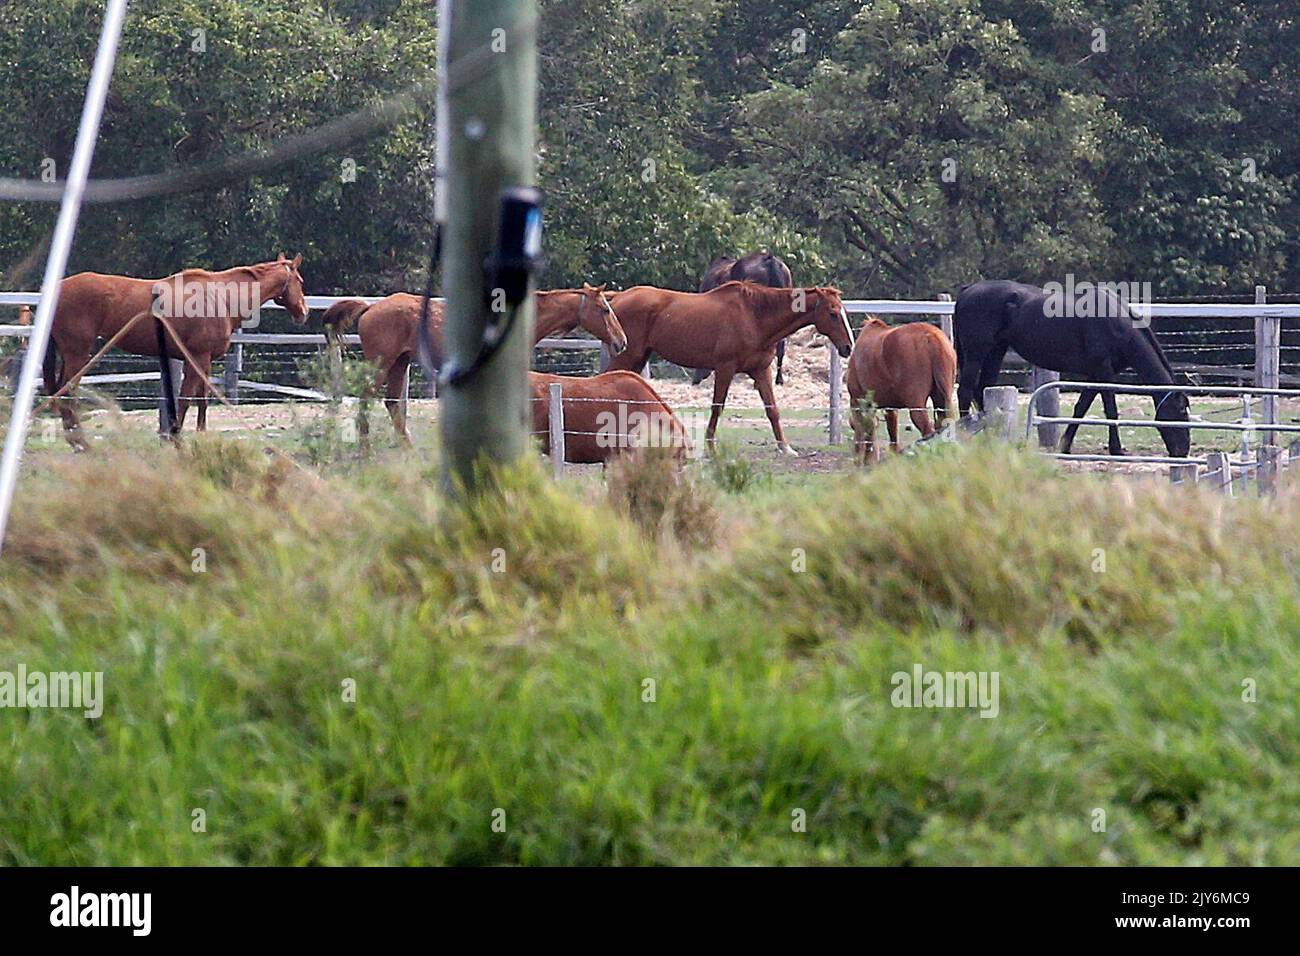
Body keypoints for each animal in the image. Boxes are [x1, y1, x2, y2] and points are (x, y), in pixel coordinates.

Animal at [45, 255, 308, 447]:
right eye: (300, 281)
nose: (303, 312)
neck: (220, 297)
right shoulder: (197, 358)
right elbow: (185, 400)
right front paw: (175, 438)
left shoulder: (204, 361)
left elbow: (202, 399)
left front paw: (200, 436)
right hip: (78, 354)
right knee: (67, 394)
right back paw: (81, 443)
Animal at [320, 284, 627, 442]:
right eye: (604, 309)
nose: (621, 341)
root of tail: (371, 307)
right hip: (382, 365)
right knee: (366, 403)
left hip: (399, 364)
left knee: (392, 405)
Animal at [604, 282, 852, 455]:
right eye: (832, 313)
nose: (848, 347)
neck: (755, 317)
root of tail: (617, 298)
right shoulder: (725, 368)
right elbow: (717, 407)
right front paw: (710, 446)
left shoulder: (761, 370)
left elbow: (772, 409)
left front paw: (785, 447)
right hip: (626, 357)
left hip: (636, 360)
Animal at [846, 317, 957, 464]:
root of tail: (931, 336)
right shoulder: (889, 407)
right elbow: (891, 431)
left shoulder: (858, 402)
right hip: (943, 399)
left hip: (916, 405)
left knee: (927, 430)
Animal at [953, 280, 1191, 457]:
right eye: (1180, 413)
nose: (1183, 451)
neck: (1116, 323)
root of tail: (967, 291)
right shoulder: (1103, 372)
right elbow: (1110, 410)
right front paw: (1116, 449)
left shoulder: (1096, 374)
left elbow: (1081, 408)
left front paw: (1064, 445)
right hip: (977, 352)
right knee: (965, 390)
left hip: (996, 350)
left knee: (983, 389)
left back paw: (990, 437)